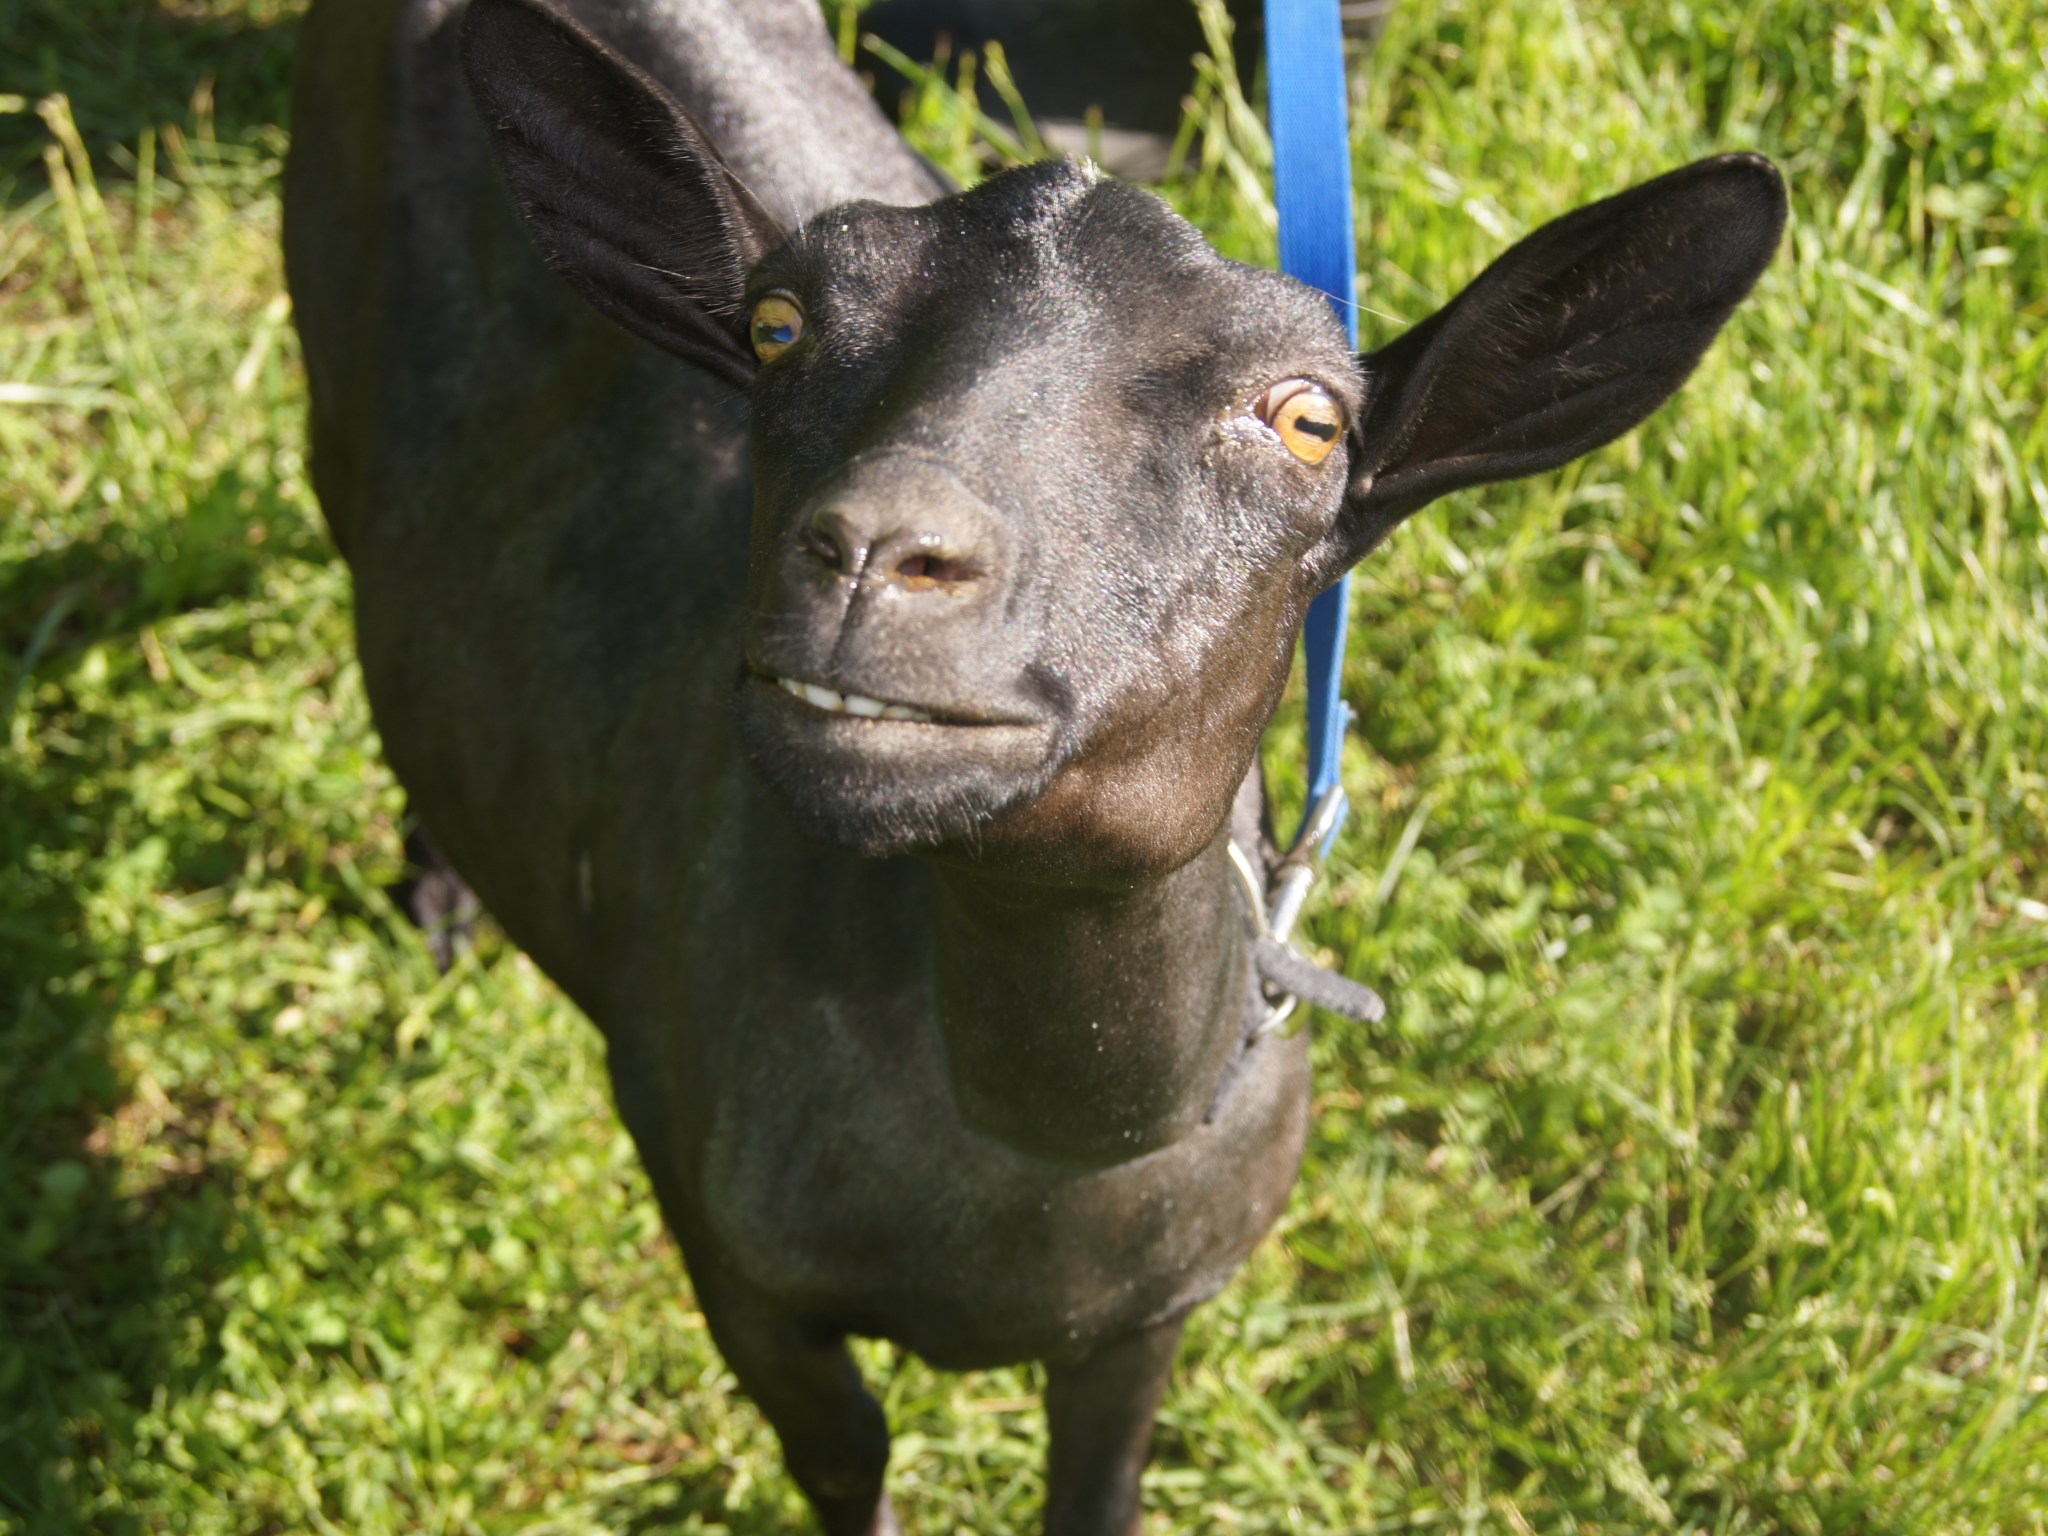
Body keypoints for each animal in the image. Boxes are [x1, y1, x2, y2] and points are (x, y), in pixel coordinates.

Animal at [284, 1, 1786, 1530]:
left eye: (1308, 421)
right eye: (776, 326)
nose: (878, 550)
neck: (1042, 1160)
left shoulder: (1150, 1307)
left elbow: (1101, 1480)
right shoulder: (727, 1244)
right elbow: (843, 1459)